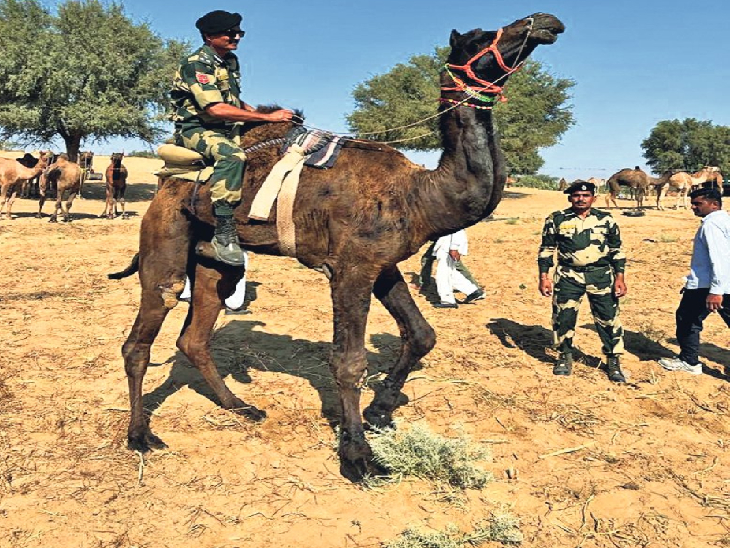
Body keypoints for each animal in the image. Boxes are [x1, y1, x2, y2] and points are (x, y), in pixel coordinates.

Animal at [108, 13, 564, 481]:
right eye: (477, 38)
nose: (544, 22)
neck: (419, 195)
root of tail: (167, 182)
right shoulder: (350, 268)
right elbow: (349, 361)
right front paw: (357, 455)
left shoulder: (383, 265)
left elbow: (422, 335)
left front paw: (380, 411)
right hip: (166, 237)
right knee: (145, 329)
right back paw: (139, 435)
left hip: (215, 262)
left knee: (196, 335)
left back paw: (242, 406)